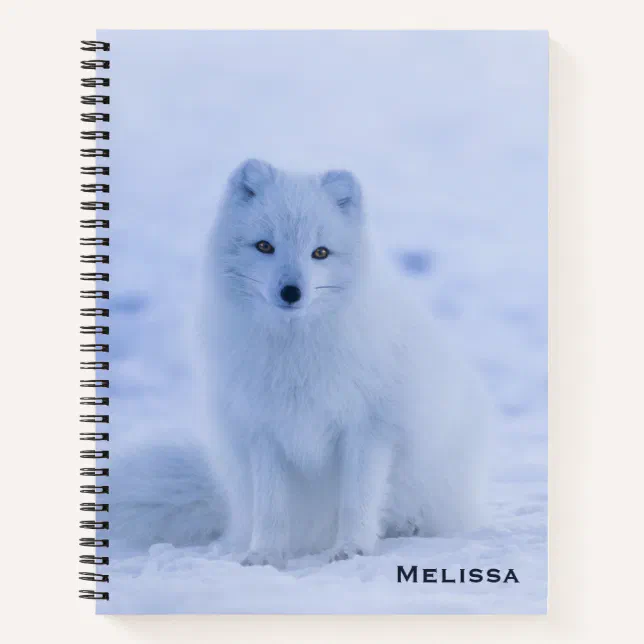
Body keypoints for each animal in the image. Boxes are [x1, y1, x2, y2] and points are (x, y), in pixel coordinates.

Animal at [110, 159, 493, 567]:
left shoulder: (369, 428)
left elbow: (358, 500)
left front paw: (351, 549)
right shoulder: (263, 430)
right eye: (265, 246)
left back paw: (407, 527)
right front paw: (264, 555)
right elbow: (271, 507)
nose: (291, 292)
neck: (294, 354)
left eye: (320, 253)